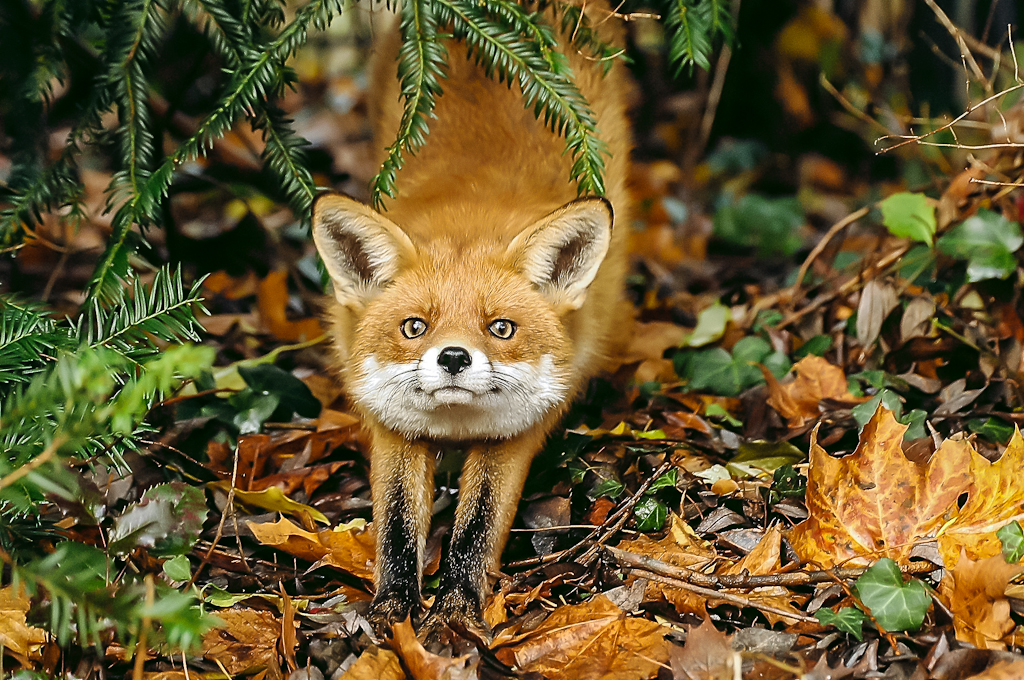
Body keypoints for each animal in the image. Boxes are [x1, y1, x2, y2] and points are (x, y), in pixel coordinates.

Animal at [311, 5, 630, 644]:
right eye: (414, 327)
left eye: (500, 329)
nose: (454, 358)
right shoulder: (391, 425)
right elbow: (396, 527)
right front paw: (392, 611)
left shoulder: (516, 430)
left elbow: (477, 527)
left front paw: (456, 613)